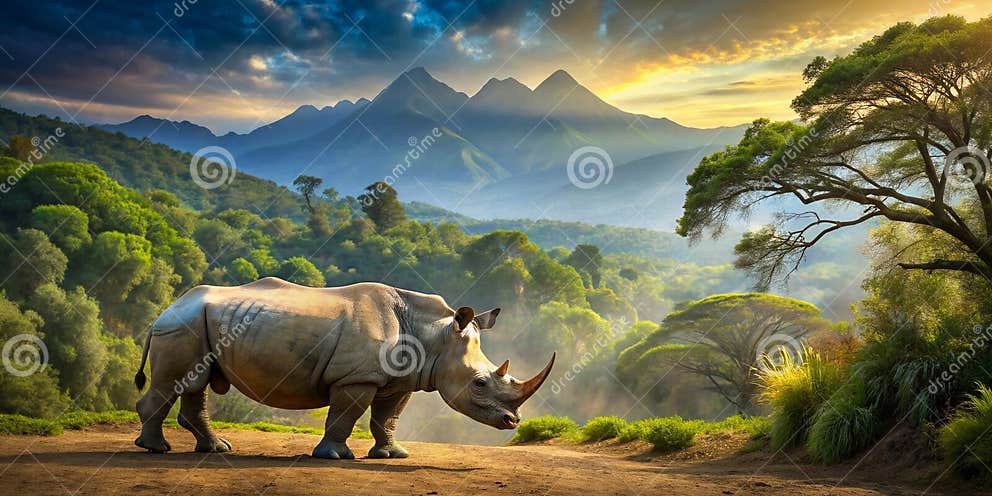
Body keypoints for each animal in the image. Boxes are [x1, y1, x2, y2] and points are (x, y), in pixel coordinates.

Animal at [133, 277, 555, 459]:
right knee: (176, 383)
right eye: (480, 383)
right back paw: (156, 449)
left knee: (196, 384)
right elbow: (345, 415)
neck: (434, 334)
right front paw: (335, 456)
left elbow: (387, 417)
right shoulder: (356, 377)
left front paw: (392, 455)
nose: (513, 422)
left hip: (196, 321)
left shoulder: (400, 380)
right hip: (182, 325)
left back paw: (215, 448)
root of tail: (165, 309)